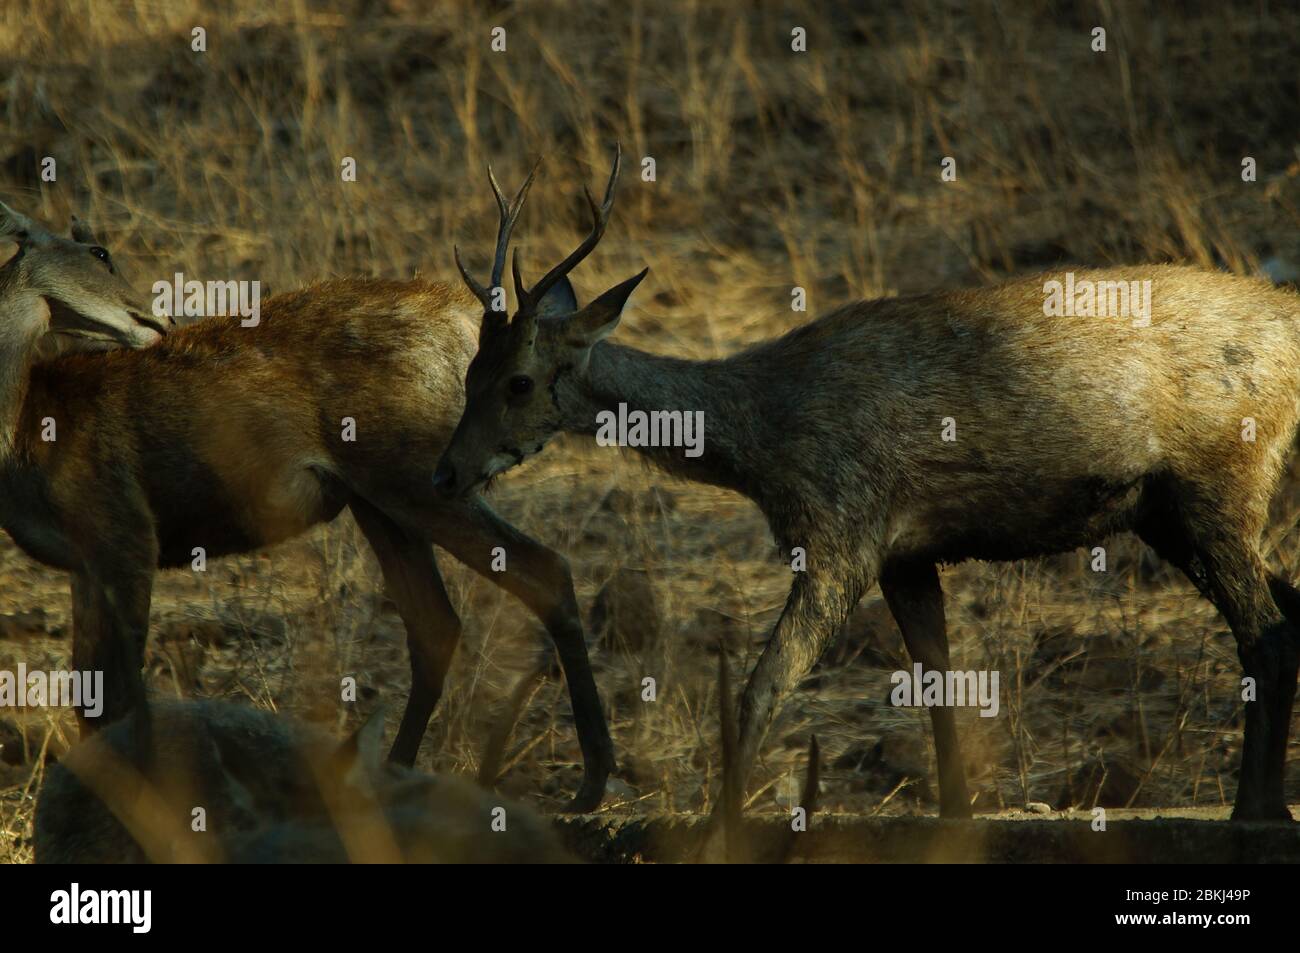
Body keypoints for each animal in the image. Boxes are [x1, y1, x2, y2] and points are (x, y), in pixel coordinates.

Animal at [0, 193, 614, 811]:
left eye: (101, 249)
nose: (158, 322)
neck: (25, 435)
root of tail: (463, 318)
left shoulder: (124, 531)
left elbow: (120, 702)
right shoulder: (85, 563)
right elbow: (90, 697)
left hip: (418, 473)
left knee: (545, 571)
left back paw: (589, 784)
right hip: (379, 497)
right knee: (436, 623)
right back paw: (395, 776)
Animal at [432, 147, 1300, 822]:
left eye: (516, 381)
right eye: (467, 372)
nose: (445, 470)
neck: (764, 438)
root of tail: (1289, 321)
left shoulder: (840, 529)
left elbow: (758, 691)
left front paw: (721, 825)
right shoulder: (904, 553)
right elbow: (940, 689)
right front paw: (954, 816)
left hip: (1219, 477)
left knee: (1267, 632)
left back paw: (1251, 810)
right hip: (1171, 511)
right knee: (1285, 607)